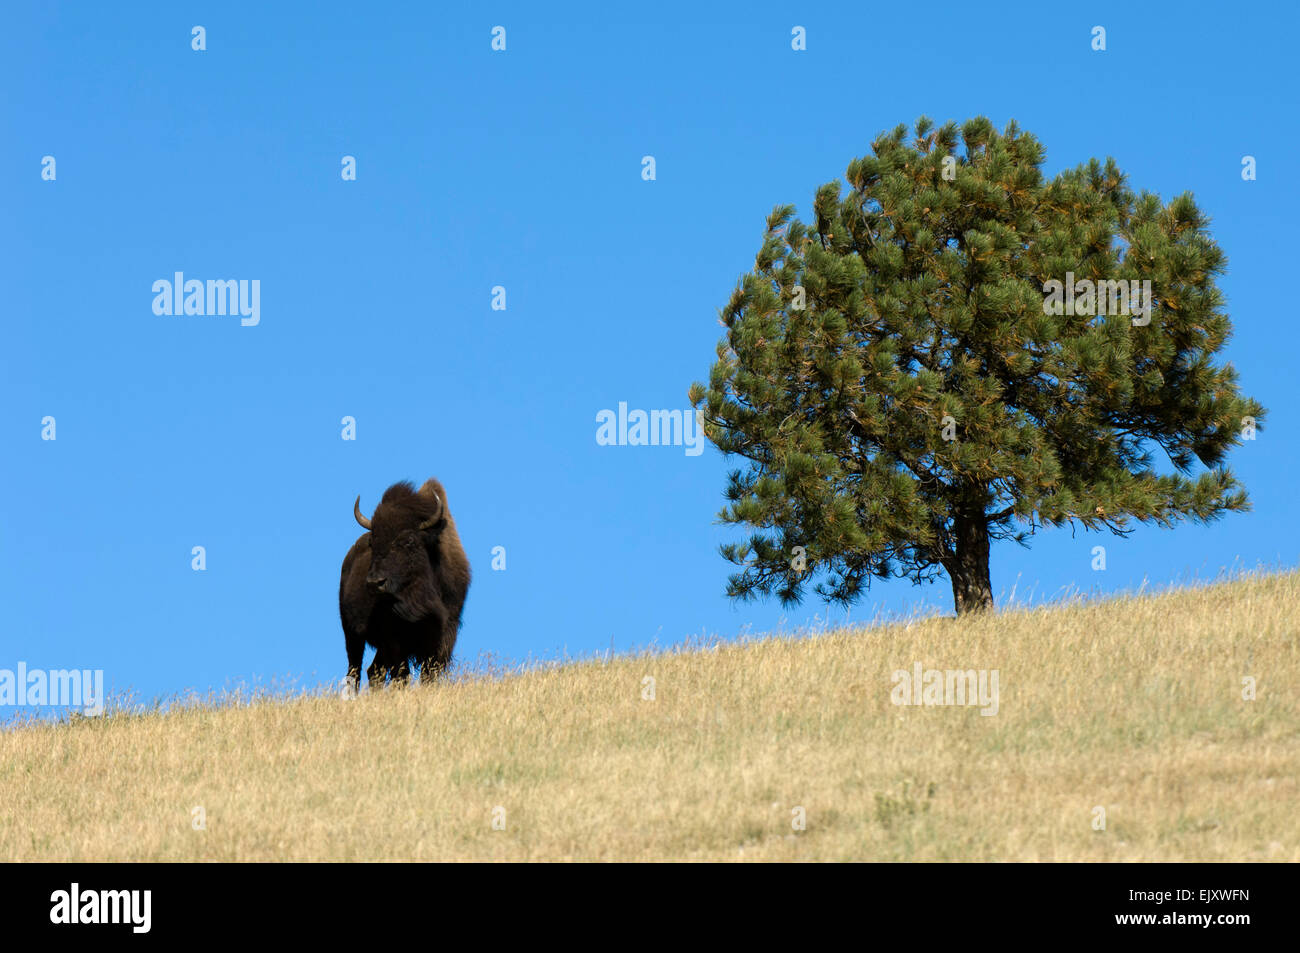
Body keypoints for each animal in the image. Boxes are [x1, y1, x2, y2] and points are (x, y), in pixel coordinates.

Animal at [339, 478, 471, 692]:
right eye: (373, 541)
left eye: (409, 541)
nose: (375, 582)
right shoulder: (394, 638)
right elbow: (401, 673)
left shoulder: (445, 633)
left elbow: (429, 672)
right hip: (352, 634)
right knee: (355, 670)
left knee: (374, 670)